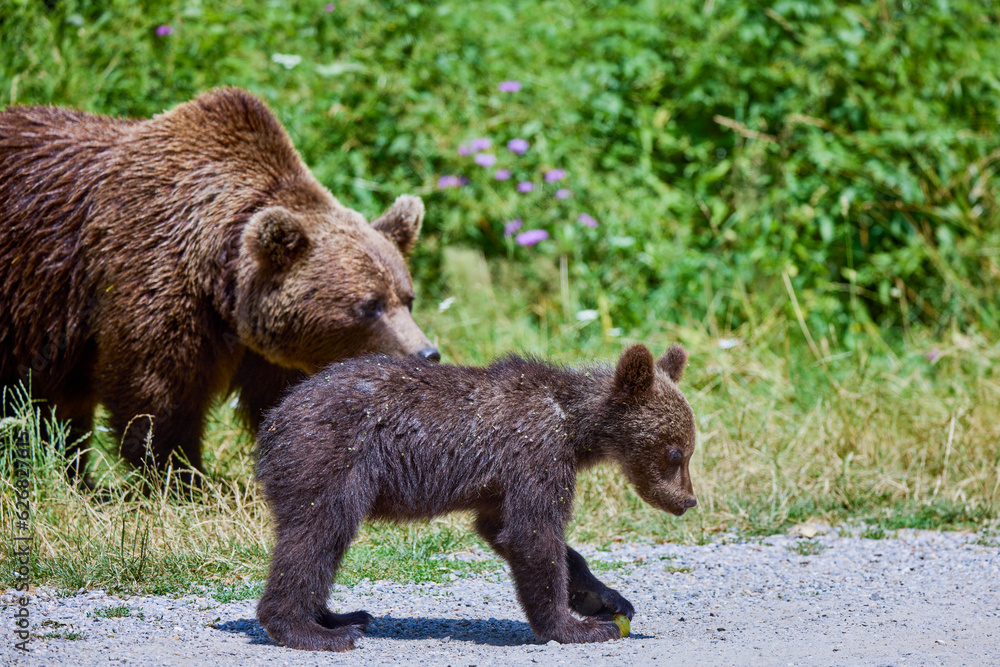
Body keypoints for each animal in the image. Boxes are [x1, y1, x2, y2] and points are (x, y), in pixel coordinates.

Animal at [0, 88, 439, 482]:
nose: (427, 352)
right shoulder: (151, 277)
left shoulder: (267, 348)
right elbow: (156, 393)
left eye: (408, 299)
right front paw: (182, 477)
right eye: (369, 305)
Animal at [255, 343, 698, 651]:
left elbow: (505, 531)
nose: (688, 501)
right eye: (675, 452)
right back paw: (312, 631)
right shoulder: (535, 452)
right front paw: (577, 627)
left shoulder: (501, 488)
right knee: (316, 535)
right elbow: (535, 535)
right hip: (331, 459)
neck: (573, 424)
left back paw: (339, 616)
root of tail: (274, 420)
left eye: (690, 449)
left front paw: (606, 599)